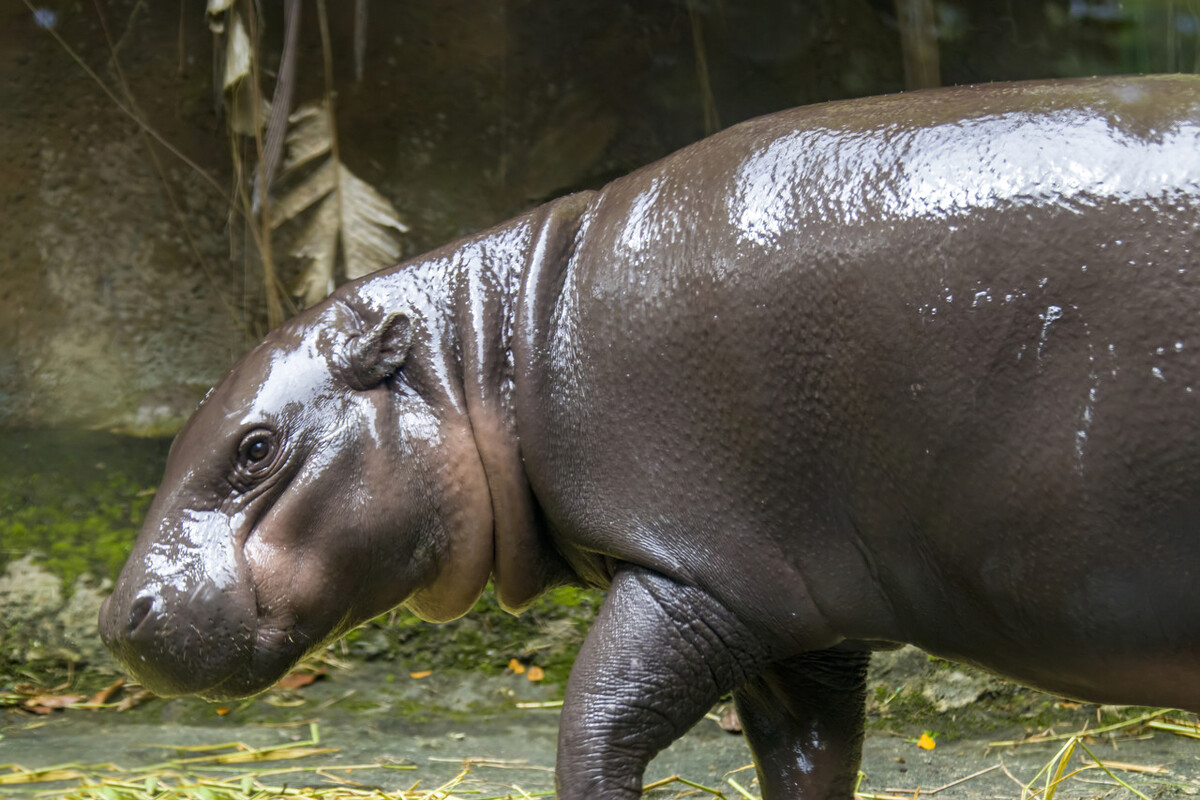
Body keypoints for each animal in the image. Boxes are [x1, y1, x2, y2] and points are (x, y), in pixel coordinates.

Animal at [101, 74, 1200, 798]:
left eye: (254, 449)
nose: (119, 618)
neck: (497, 344)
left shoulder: (700, 573)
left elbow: (596, 728)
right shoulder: (806, 615)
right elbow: (808, 757)